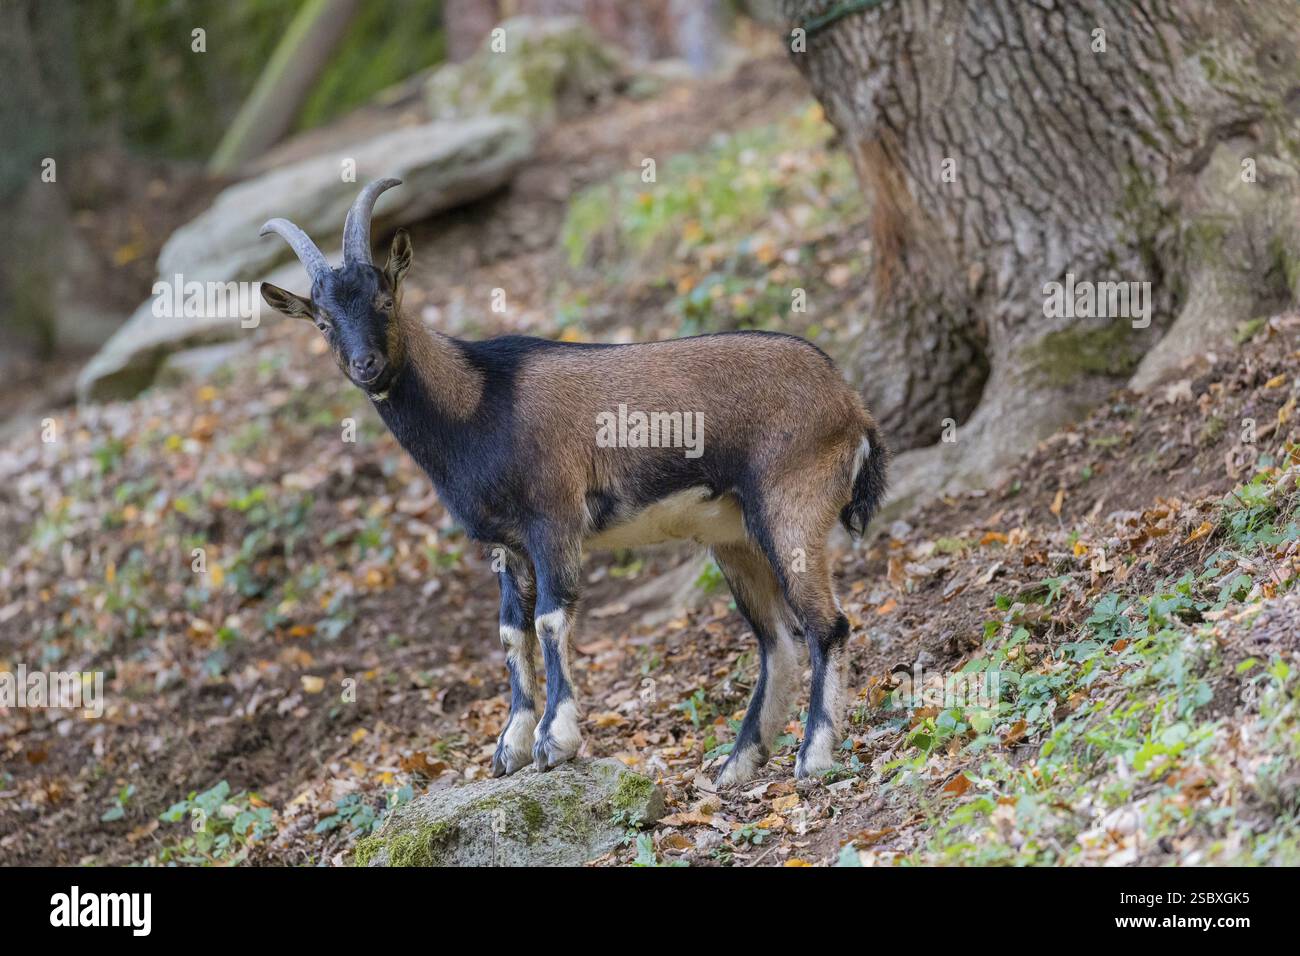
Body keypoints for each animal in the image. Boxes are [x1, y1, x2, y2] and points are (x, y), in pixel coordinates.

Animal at [259, 179, 888, 786]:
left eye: (384, 298)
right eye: (322, 321)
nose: (365, 365)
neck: (477, 401)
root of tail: (850, 403)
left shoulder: (554, 519)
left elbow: (550, 618)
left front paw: (554, 742)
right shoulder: (505, 544)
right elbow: (511, 632)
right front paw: (508, 748)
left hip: (789, 507)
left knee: (826, 625)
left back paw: (813, 757)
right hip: (731, 534)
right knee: (776, 640)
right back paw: (736, 765)